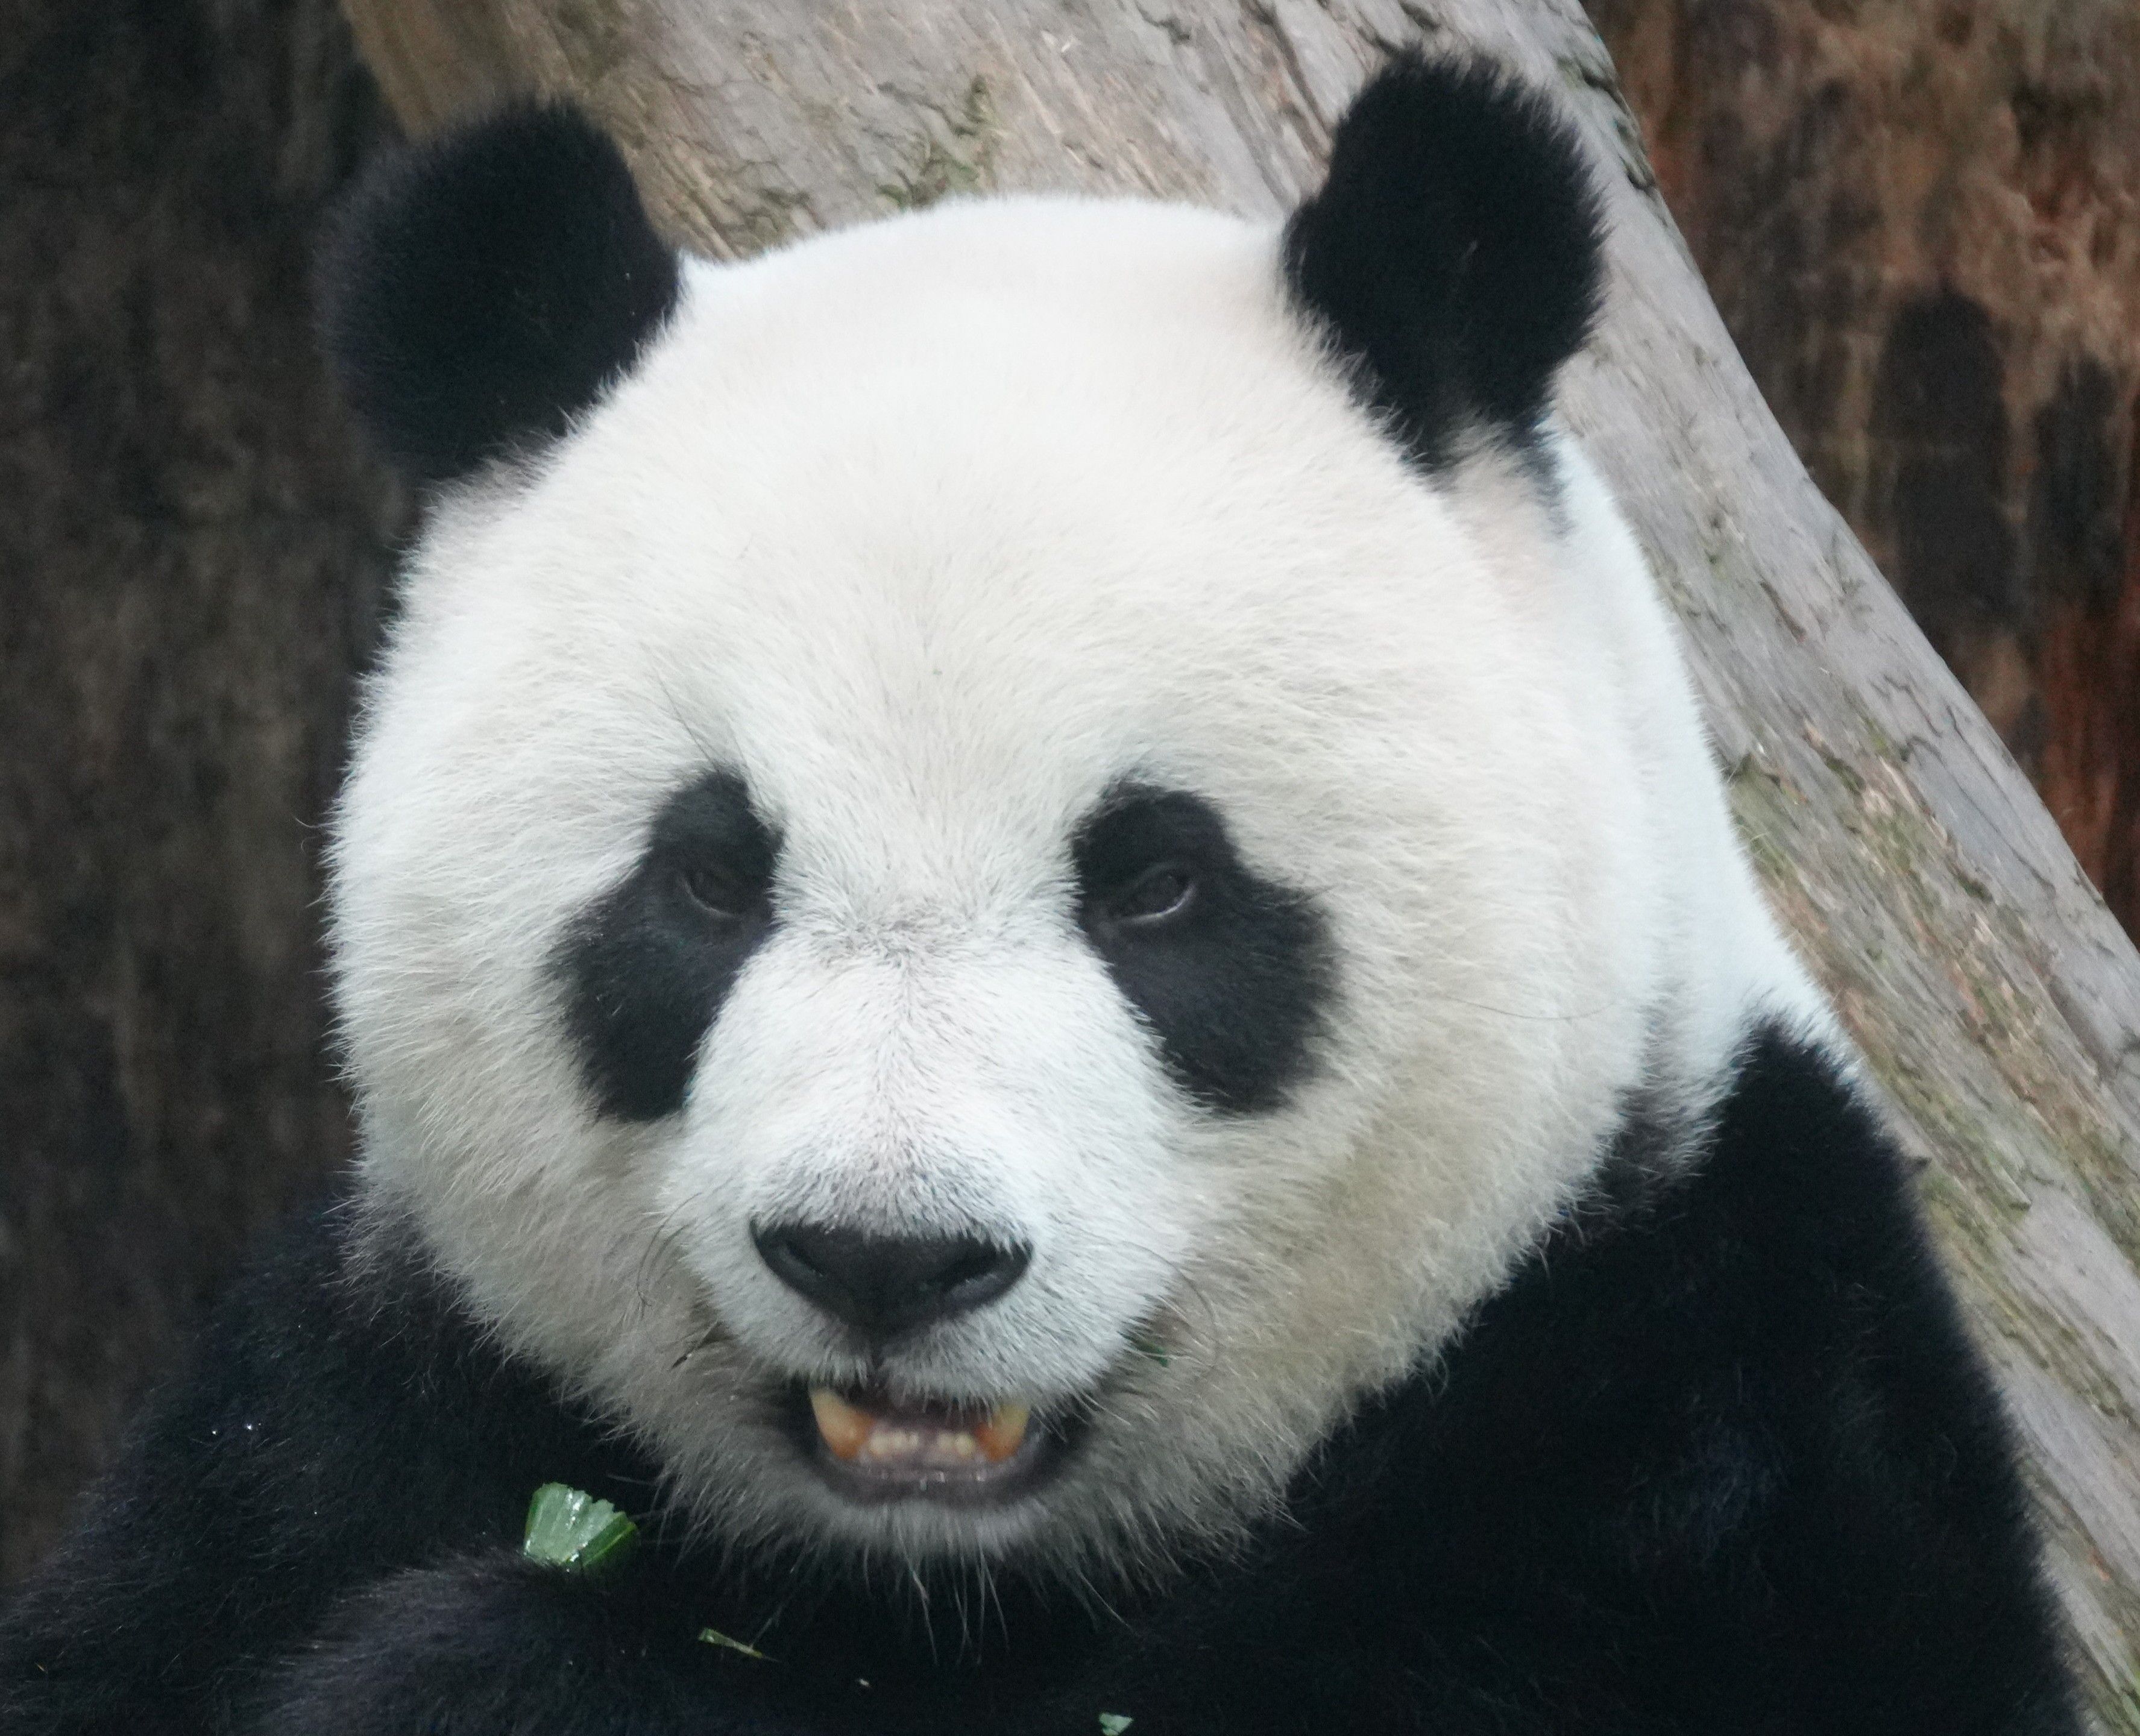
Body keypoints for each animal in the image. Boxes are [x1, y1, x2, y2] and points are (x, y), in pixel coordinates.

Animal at [0, 50, 2083, 1736]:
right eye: (707, 877)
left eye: (1156, 882)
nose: (885, 1257)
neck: (933, 1573)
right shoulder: (342, 1412)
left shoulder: (1706, 1417)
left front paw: (497, 1675)